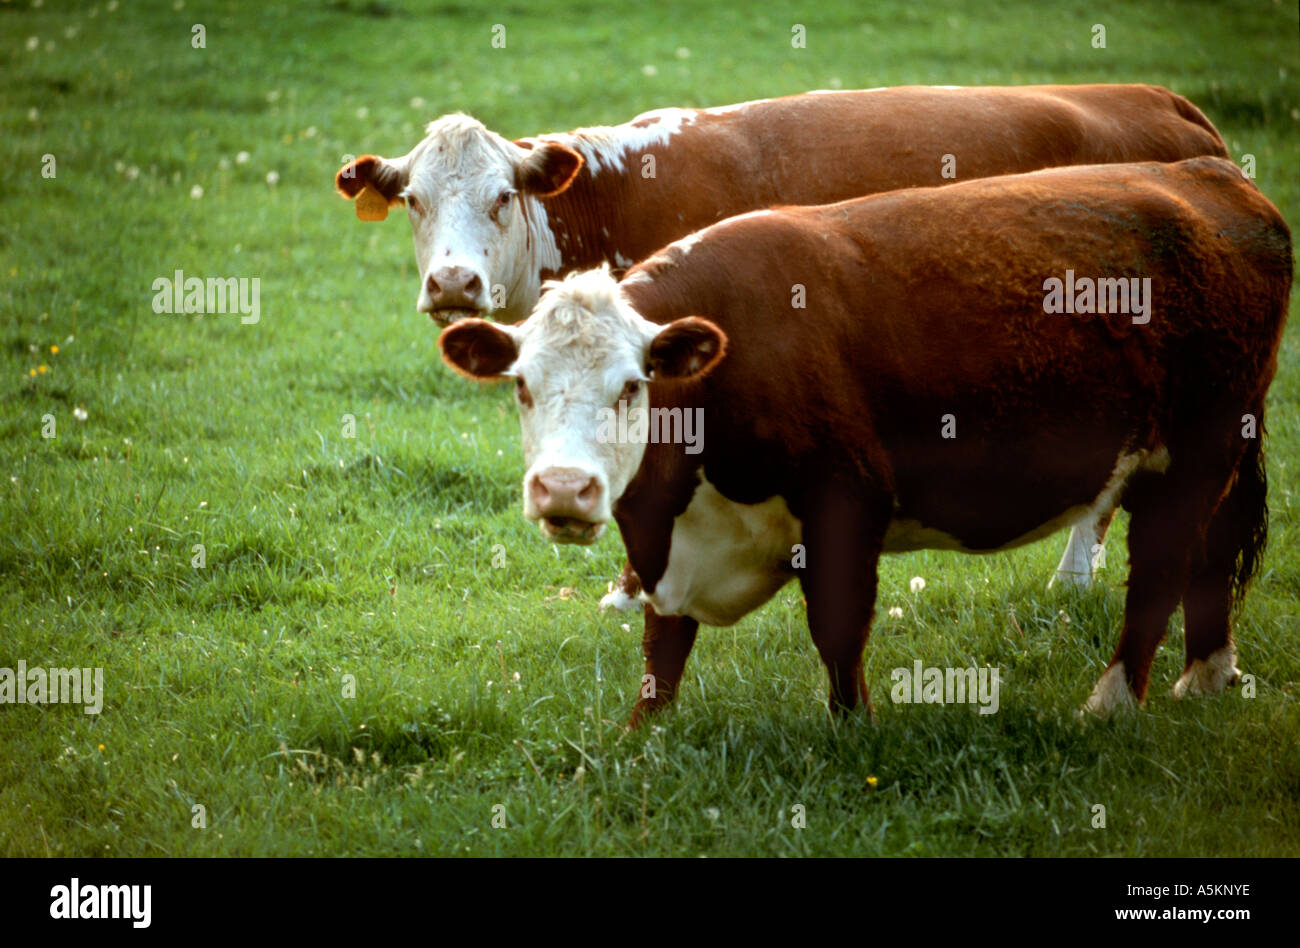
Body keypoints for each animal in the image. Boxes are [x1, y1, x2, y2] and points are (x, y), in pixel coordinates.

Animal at [437, 156, 1291, 727]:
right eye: (522, 385)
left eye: (631, 385)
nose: (565, 490)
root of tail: (1207, 173)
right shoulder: (666, 546)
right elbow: (662, 647)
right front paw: (639, 739)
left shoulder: (846, 501)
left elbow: (838, 629)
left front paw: (854, 731)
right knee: (1214, 551)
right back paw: (1208, 672)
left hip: (1199, 449)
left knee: (1162, 569)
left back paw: (1112, 703)